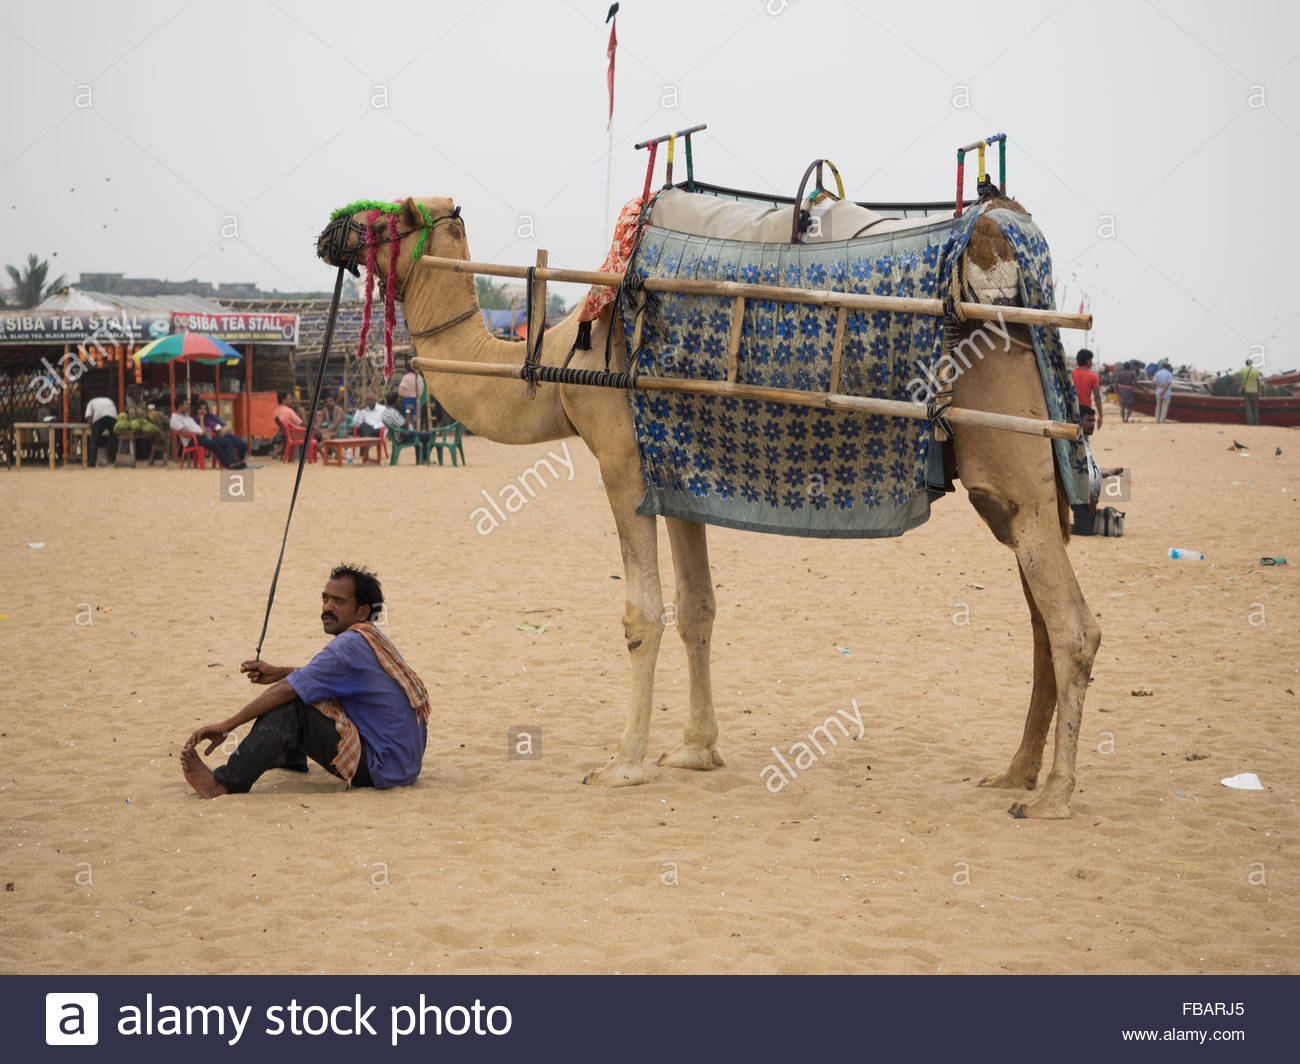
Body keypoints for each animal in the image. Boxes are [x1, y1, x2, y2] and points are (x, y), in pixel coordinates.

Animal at [316, 194, 1099, 818]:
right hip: (1015, 491)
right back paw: (1015, 773)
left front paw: (622, 764)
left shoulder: (624, 463)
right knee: (1040, 617)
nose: (328, 234)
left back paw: (1055, 795)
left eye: (383, 216)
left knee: (1072, 626)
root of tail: (1007, 250)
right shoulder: (679, 478)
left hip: (1010, 453)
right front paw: (695, 751)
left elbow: (642, 613)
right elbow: (697, 609)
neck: (562, 354)